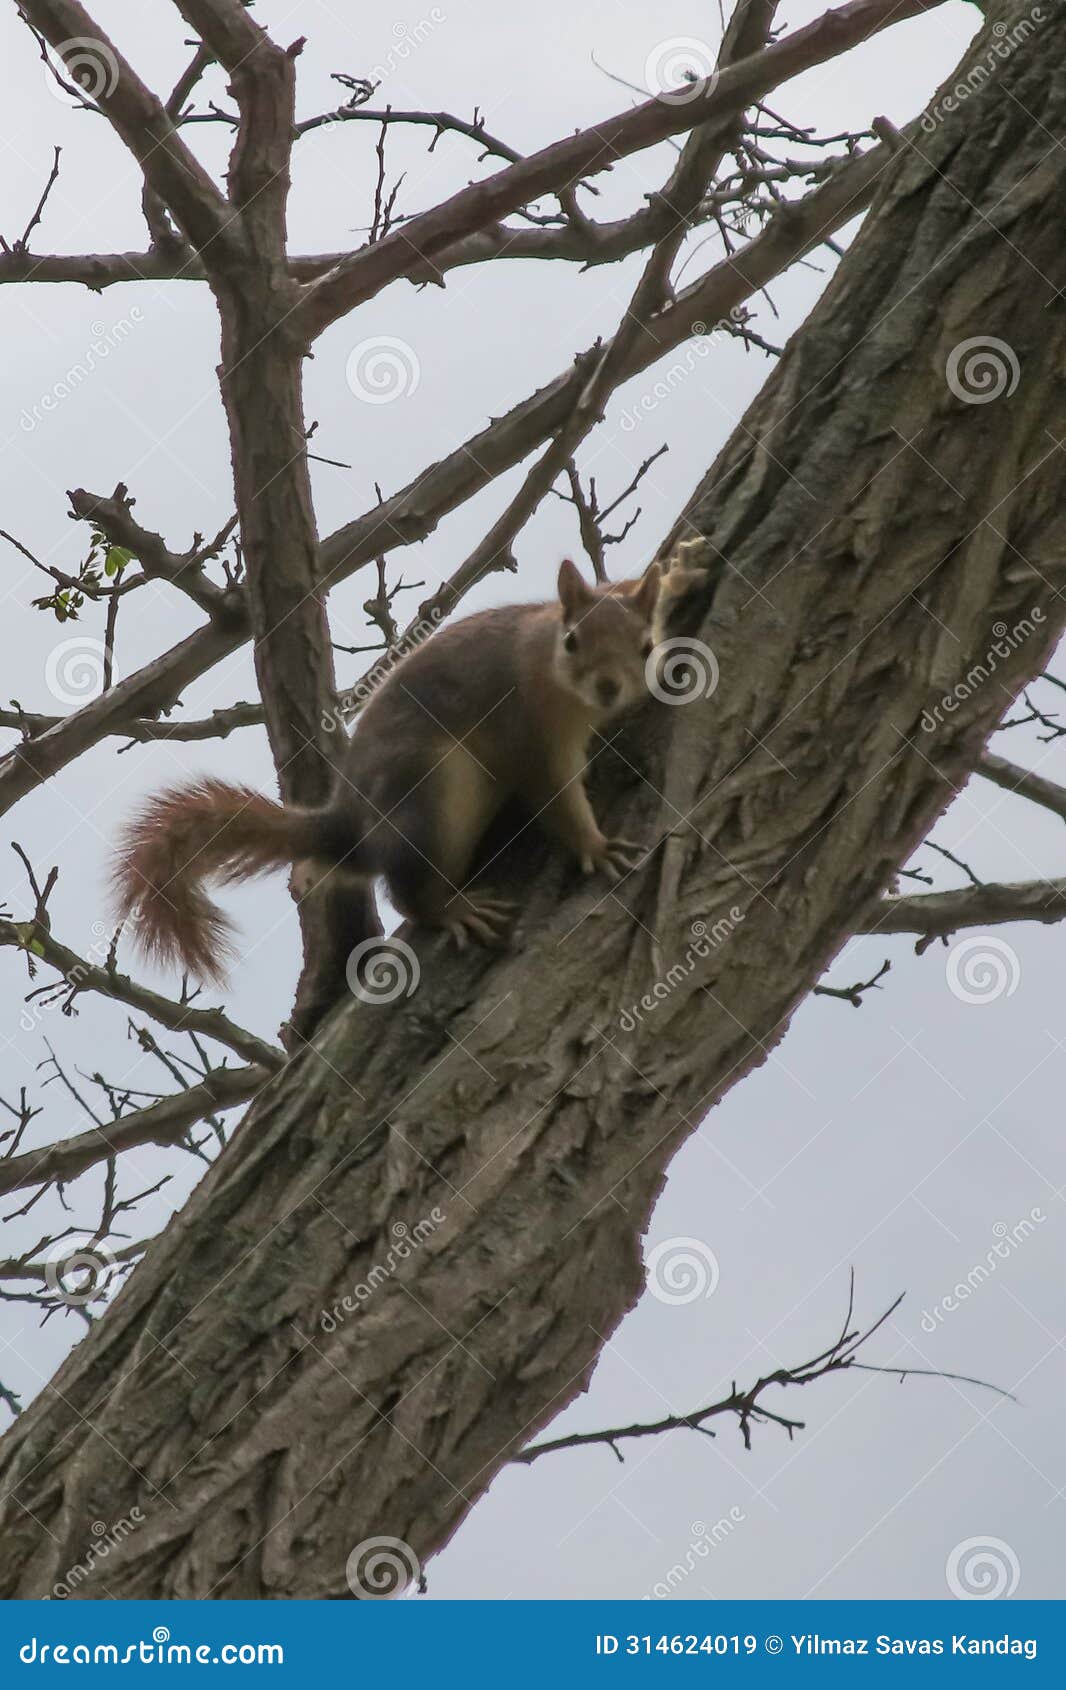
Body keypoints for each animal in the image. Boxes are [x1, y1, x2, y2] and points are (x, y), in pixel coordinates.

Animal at [112, 555, 671, 1034]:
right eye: (573, 641)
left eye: (646, 645)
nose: (608, 687)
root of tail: (353, 824)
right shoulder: (531, 735)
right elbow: (557, 798)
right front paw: (597, 847)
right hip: (434, 793)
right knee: (407, 890)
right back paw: (450, 910)